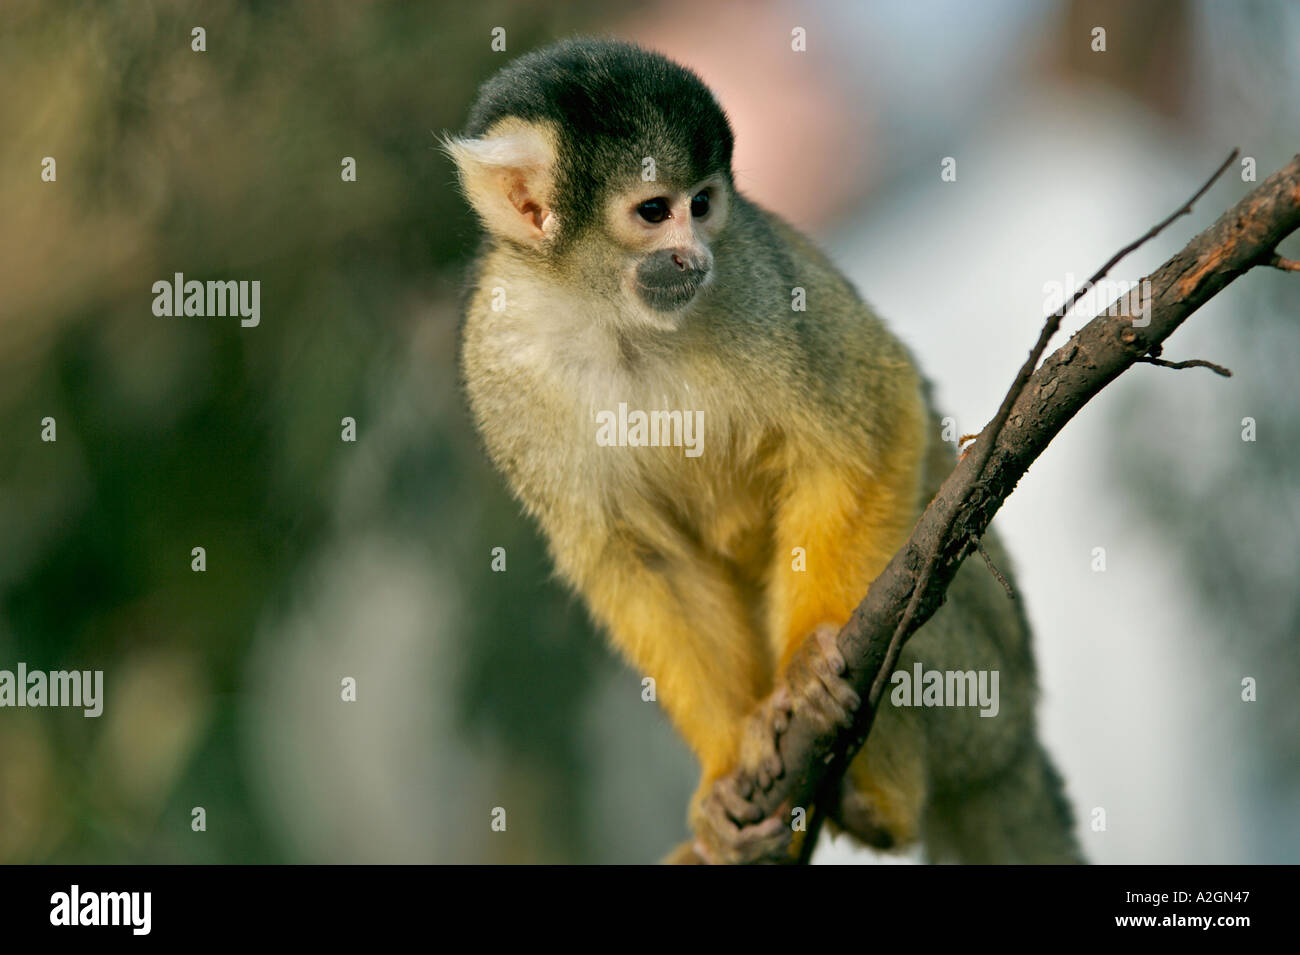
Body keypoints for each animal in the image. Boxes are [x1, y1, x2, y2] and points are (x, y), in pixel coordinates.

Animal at [448, 38, 1082, 864]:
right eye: (653, 212)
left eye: (703, 204)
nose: (692, 258)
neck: (612, 316)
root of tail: (1021, 743)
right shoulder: (498, 356)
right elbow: (638, 556)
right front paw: (726, 764)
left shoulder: (754, 273)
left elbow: (869, 420)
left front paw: (805, 661)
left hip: (989, 687)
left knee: (919, 592)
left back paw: (879, 793)